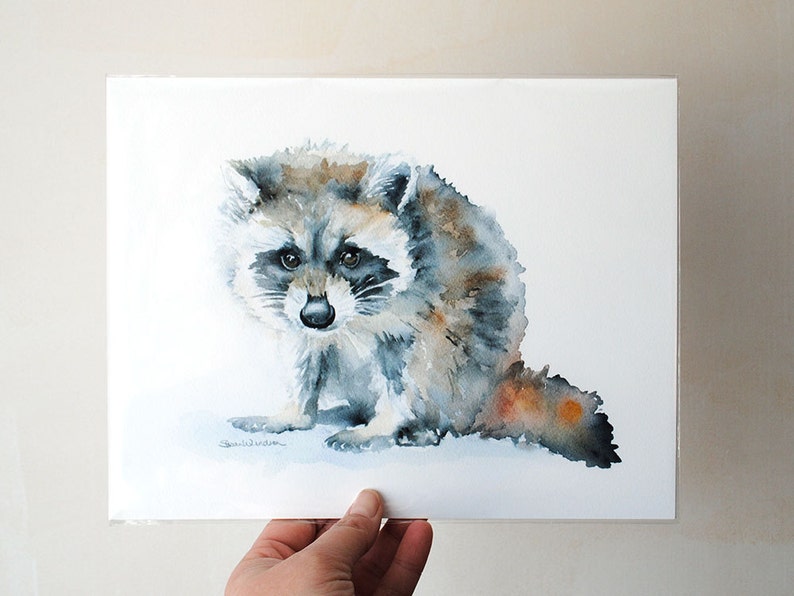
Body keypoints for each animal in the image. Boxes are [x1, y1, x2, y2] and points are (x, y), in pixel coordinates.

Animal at [222, 145, 619, 468]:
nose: (318, 316)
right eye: (289, 258)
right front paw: (294, 411)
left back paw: (426, 426)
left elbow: (405, 368)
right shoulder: (298, 317)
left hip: (474, 358)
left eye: (350, 257)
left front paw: (385, 422)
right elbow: (304, 356)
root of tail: (495, 384)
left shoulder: (420, 306)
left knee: (444, 363)